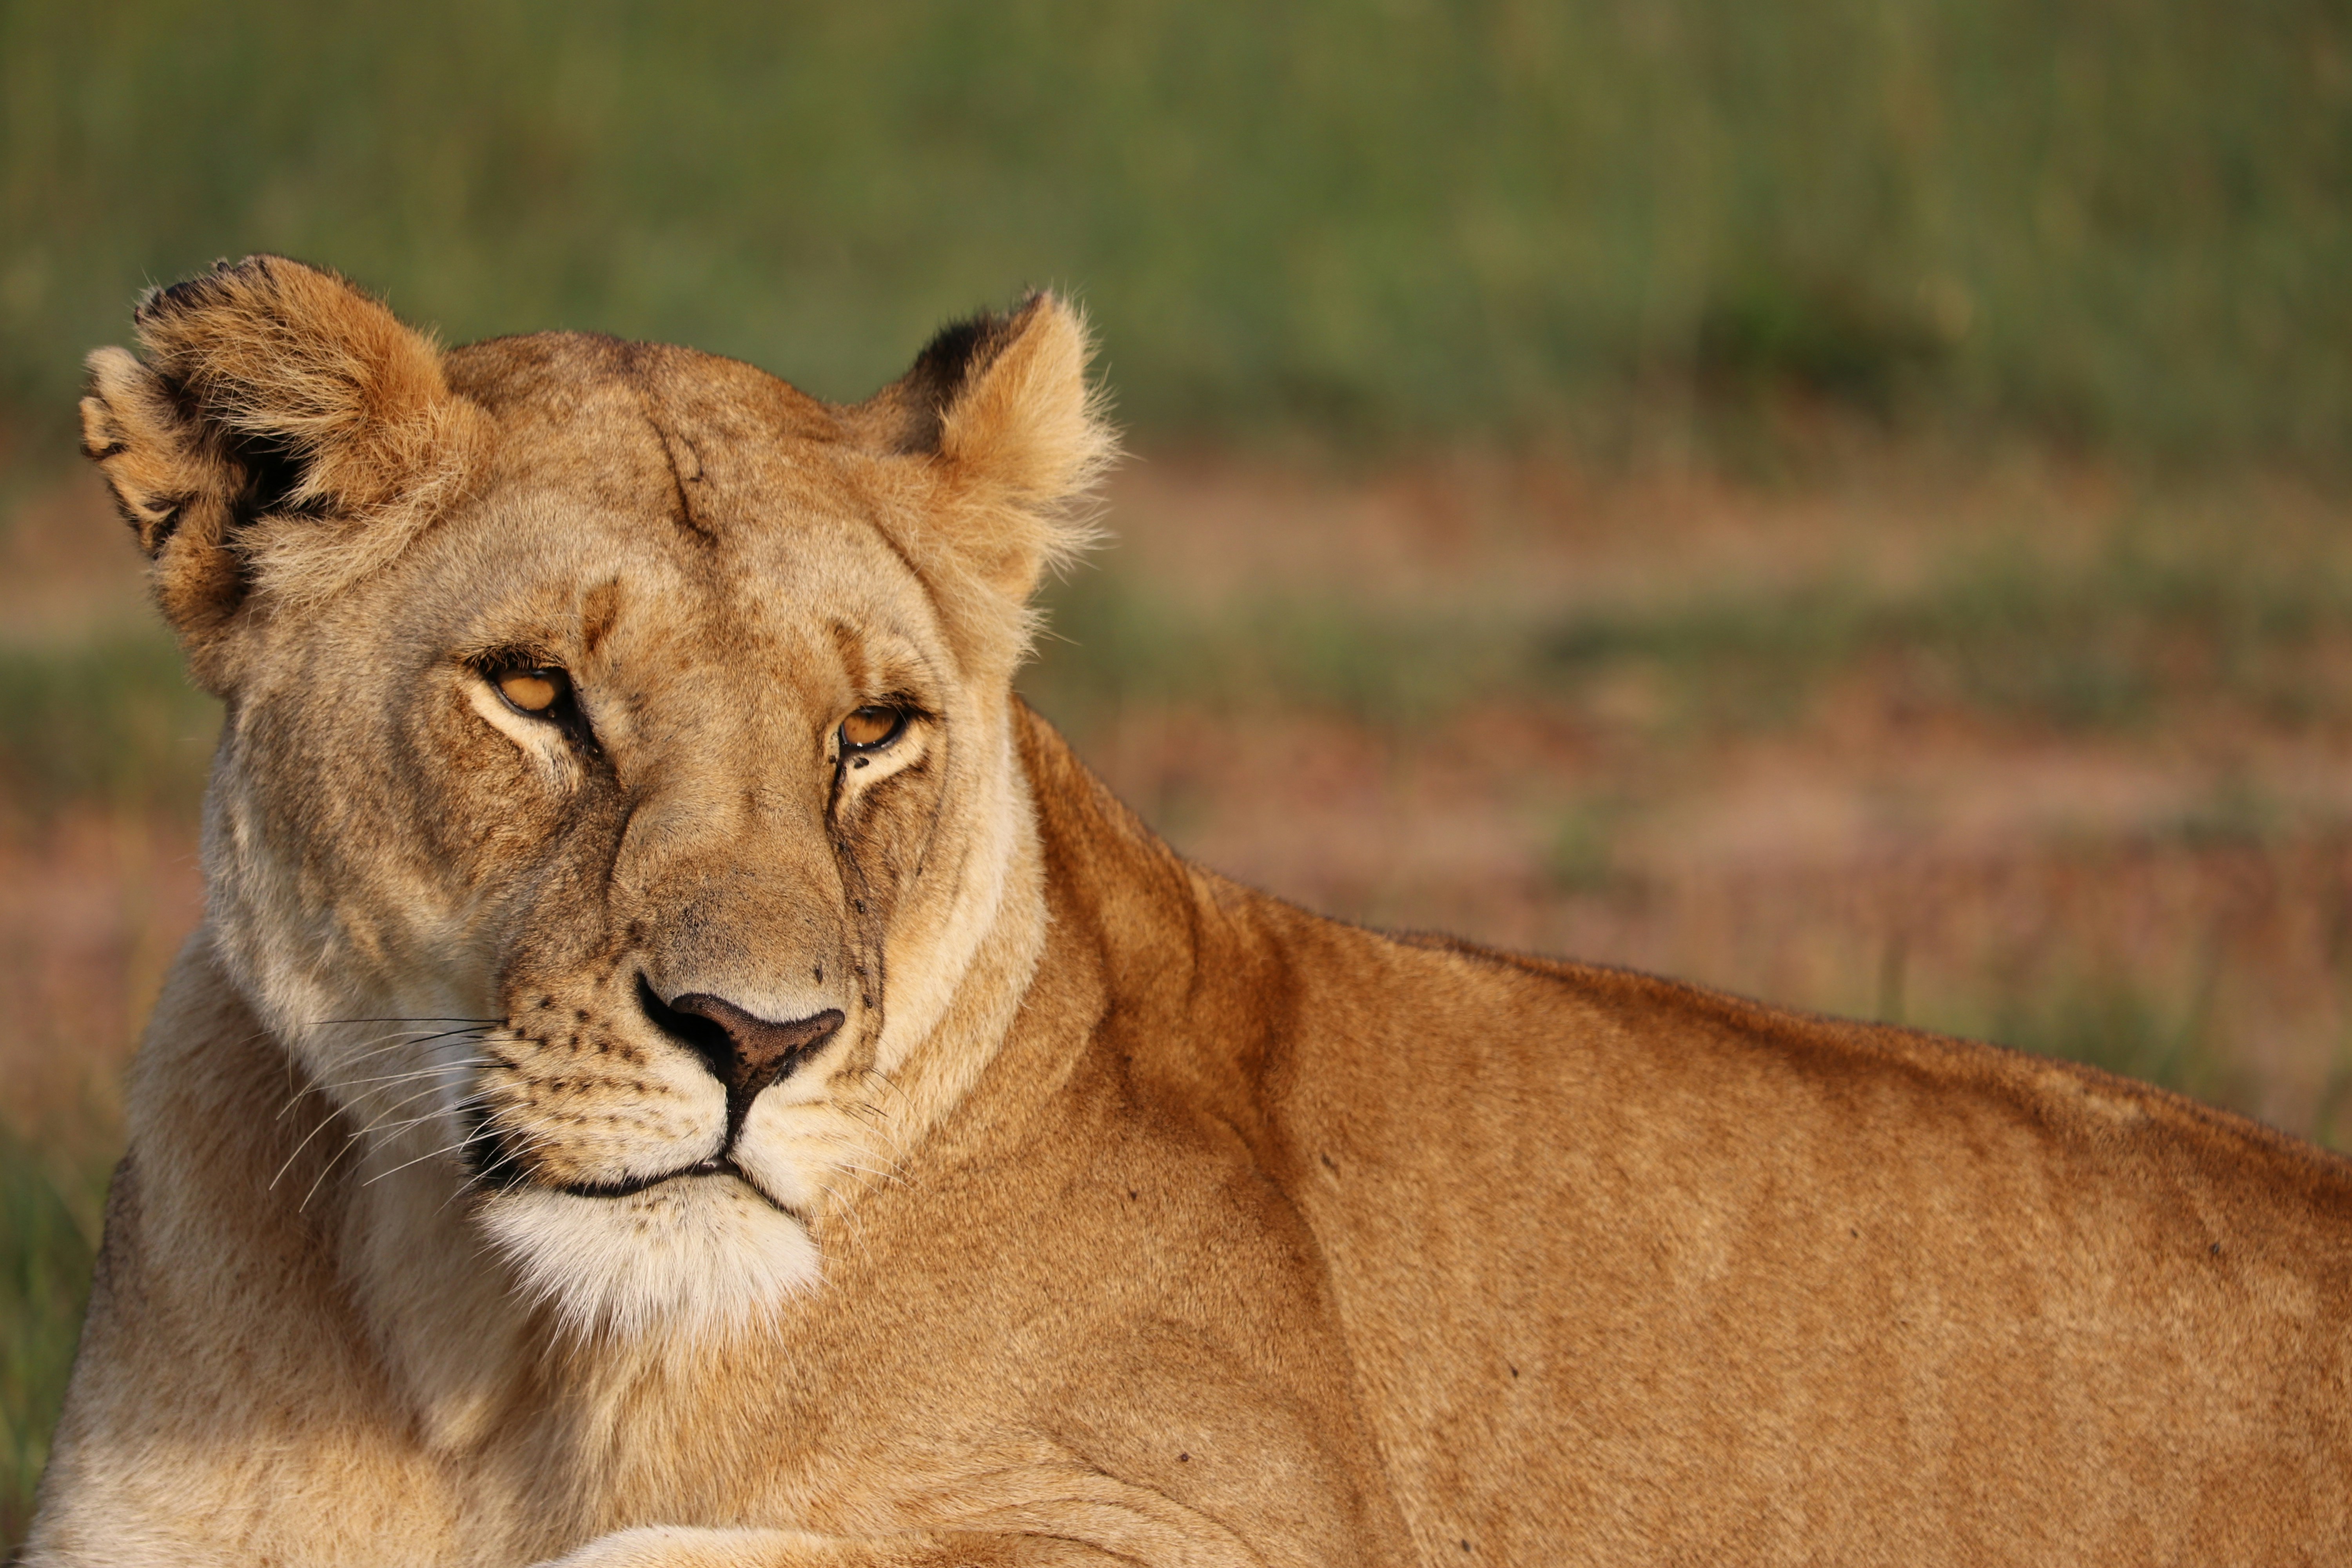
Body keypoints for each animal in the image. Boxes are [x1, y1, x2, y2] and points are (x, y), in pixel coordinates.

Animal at [24, 255, 2352, 1567]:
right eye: (532, 693)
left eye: (874, 730)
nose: (762, 1042)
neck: (495, 1360)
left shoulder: (1235, 1521)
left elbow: (706, 1552)